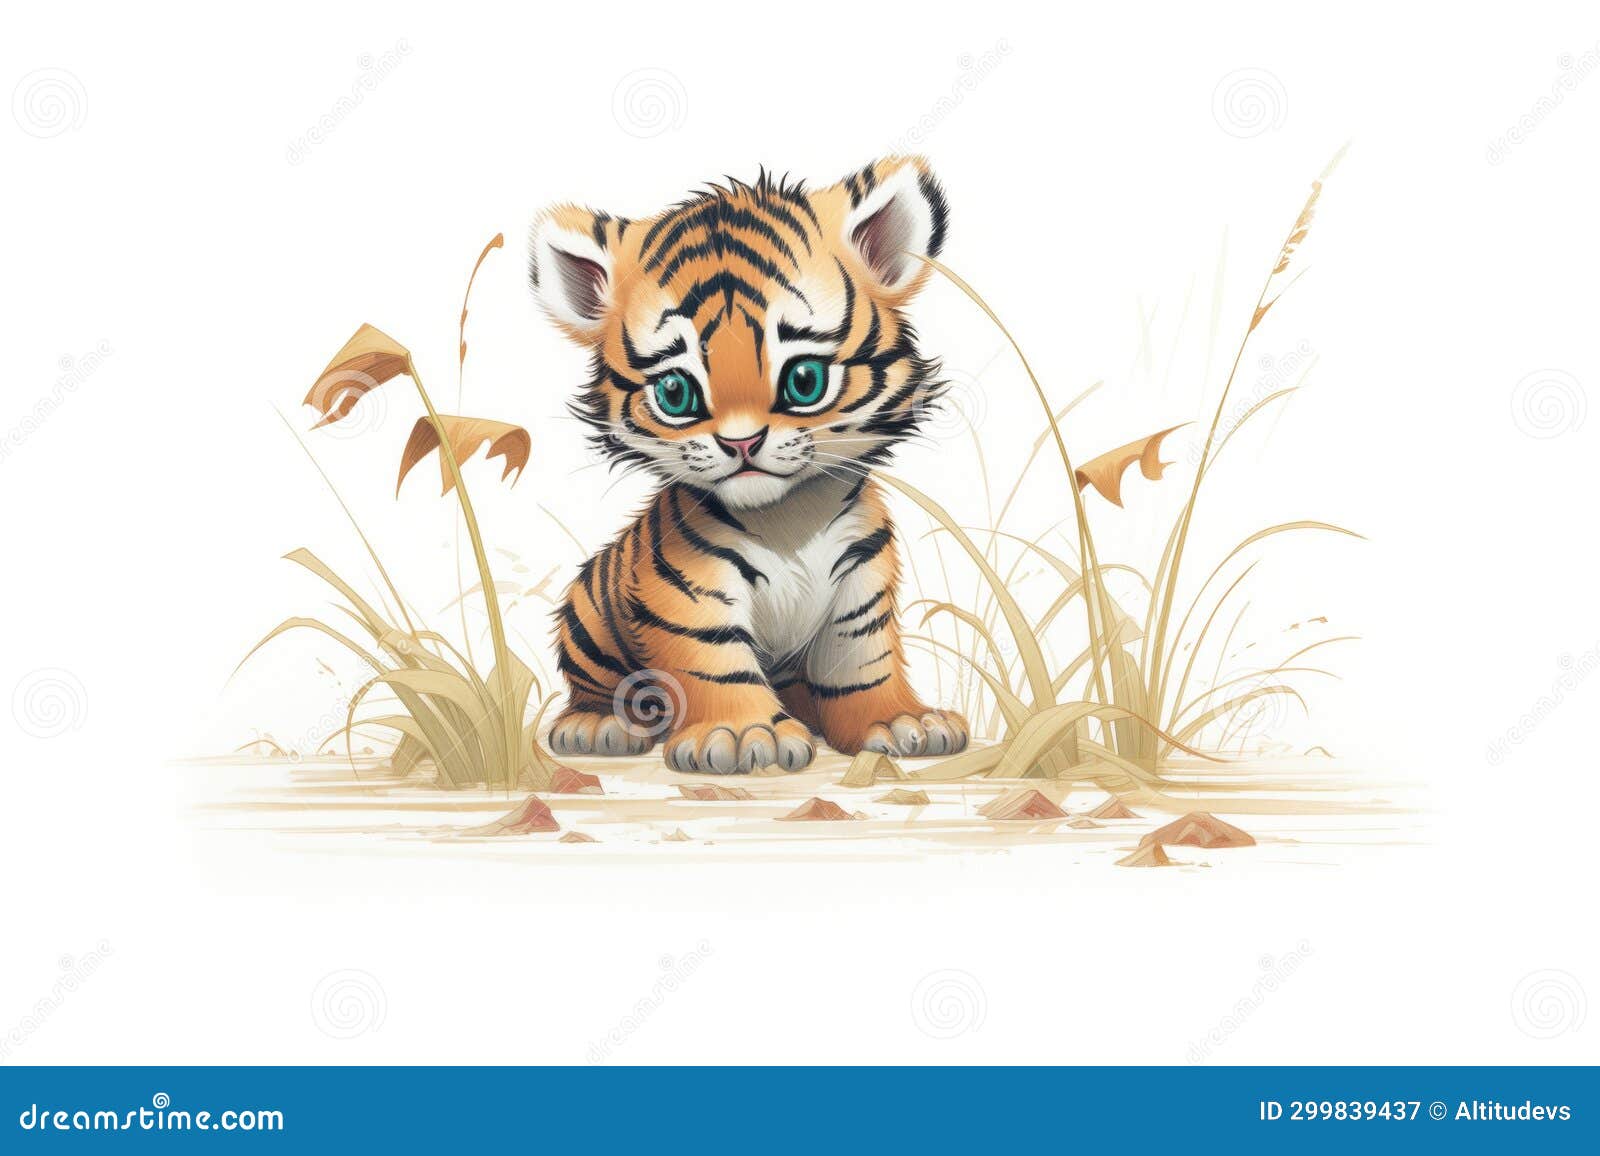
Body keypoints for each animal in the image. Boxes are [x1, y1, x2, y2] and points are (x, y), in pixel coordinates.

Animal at [529, 156, 969, 775]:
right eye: (675, 392)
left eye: (804, 380)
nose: (742, 443)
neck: (788, 517)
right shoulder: (686, 593)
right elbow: (715, 661)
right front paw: (740, 737)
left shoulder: (861, 585)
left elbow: (861, 664)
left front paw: (900, 721)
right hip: (588, 616)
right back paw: (597, 725)